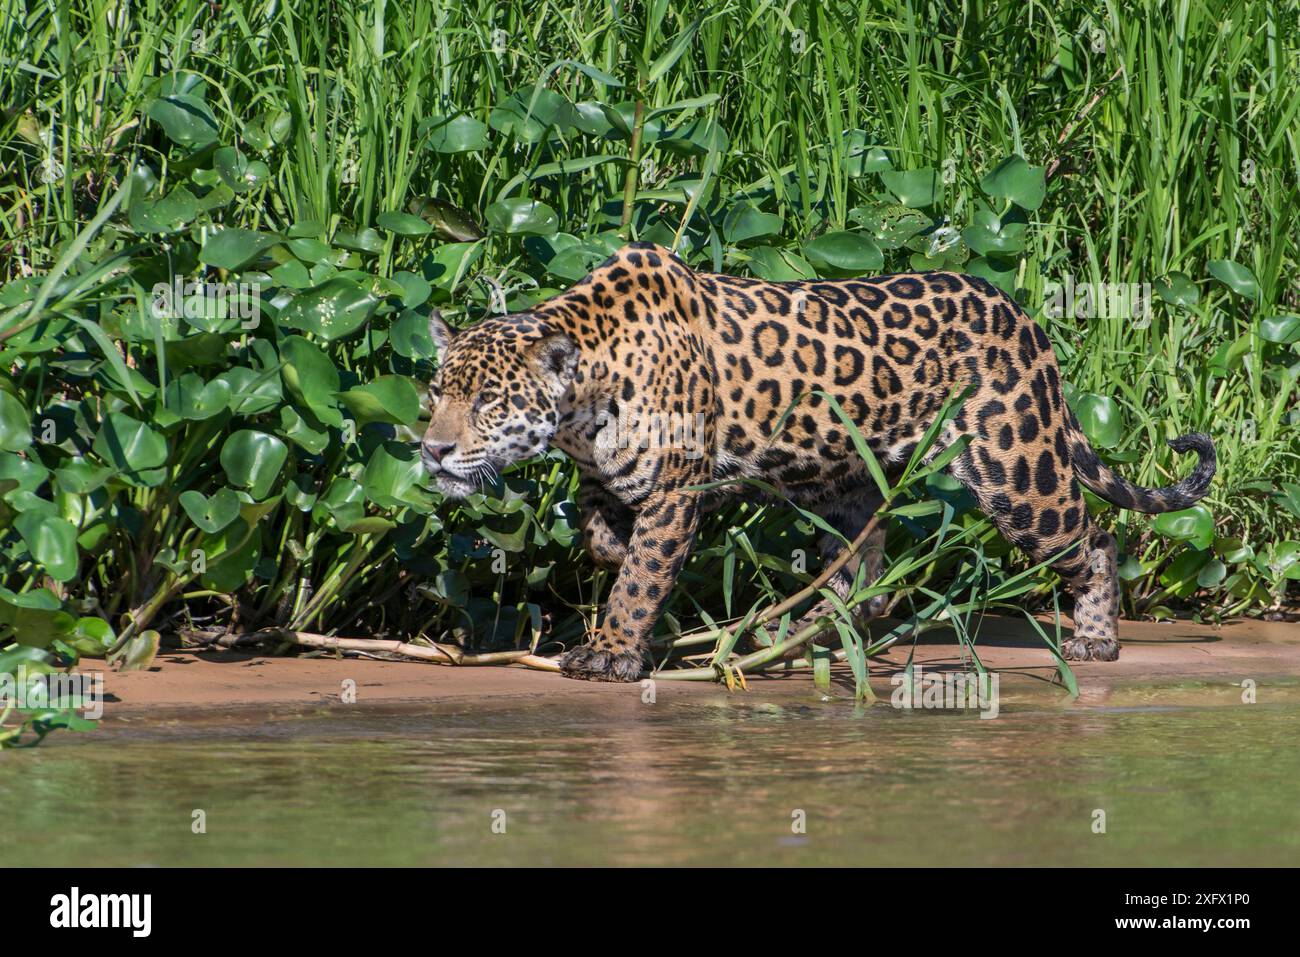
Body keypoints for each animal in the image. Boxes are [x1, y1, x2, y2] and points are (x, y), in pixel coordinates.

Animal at [421, 242, 1215, 682]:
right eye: (434, 394)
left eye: (488, 400)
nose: (431, 449)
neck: (585, 401)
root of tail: (1023, 315)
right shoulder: (604, 476)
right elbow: (599, 536)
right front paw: (615, 552)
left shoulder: (676, 486)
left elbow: (643, 576)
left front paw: (613, 651)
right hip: (854, 483)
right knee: (865, 571)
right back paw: (799, 637)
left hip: (1016, 470)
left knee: (1095, 538)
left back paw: (1095, 639)